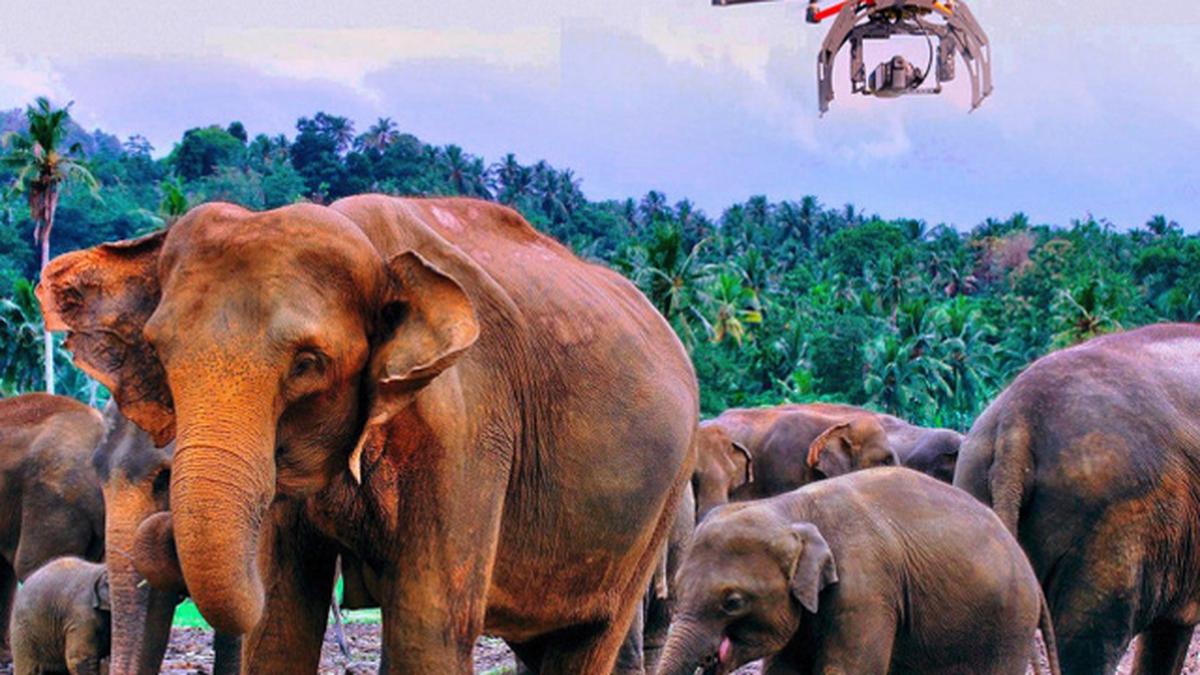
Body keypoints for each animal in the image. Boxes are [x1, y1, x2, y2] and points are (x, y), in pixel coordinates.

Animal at [658, 468, 1060, 675]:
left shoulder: (865, 588)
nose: (708, 660)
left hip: (1007, 625)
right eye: (677, 590)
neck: (789, 508)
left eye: (733, 602)